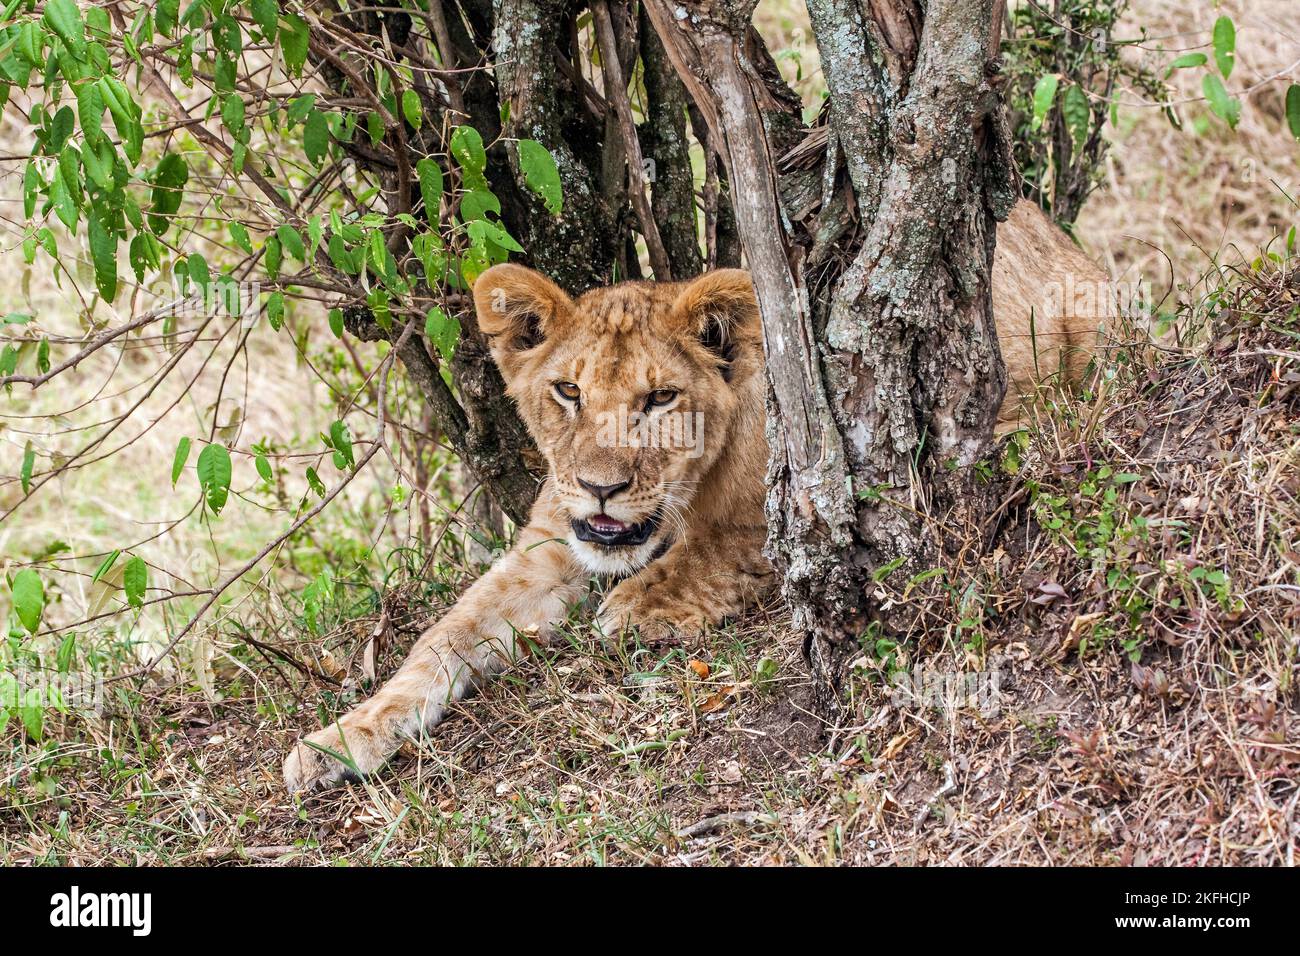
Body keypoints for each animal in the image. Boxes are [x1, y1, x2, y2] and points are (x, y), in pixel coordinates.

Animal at [284, 199, 1106, 792]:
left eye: (660, 398)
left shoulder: (806, 510)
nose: (602, 489)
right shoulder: (548, 546)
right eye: (568, 391)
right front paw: (340, 739)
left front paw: (634, 608)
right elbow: (441, 637)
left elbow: (700, 559)